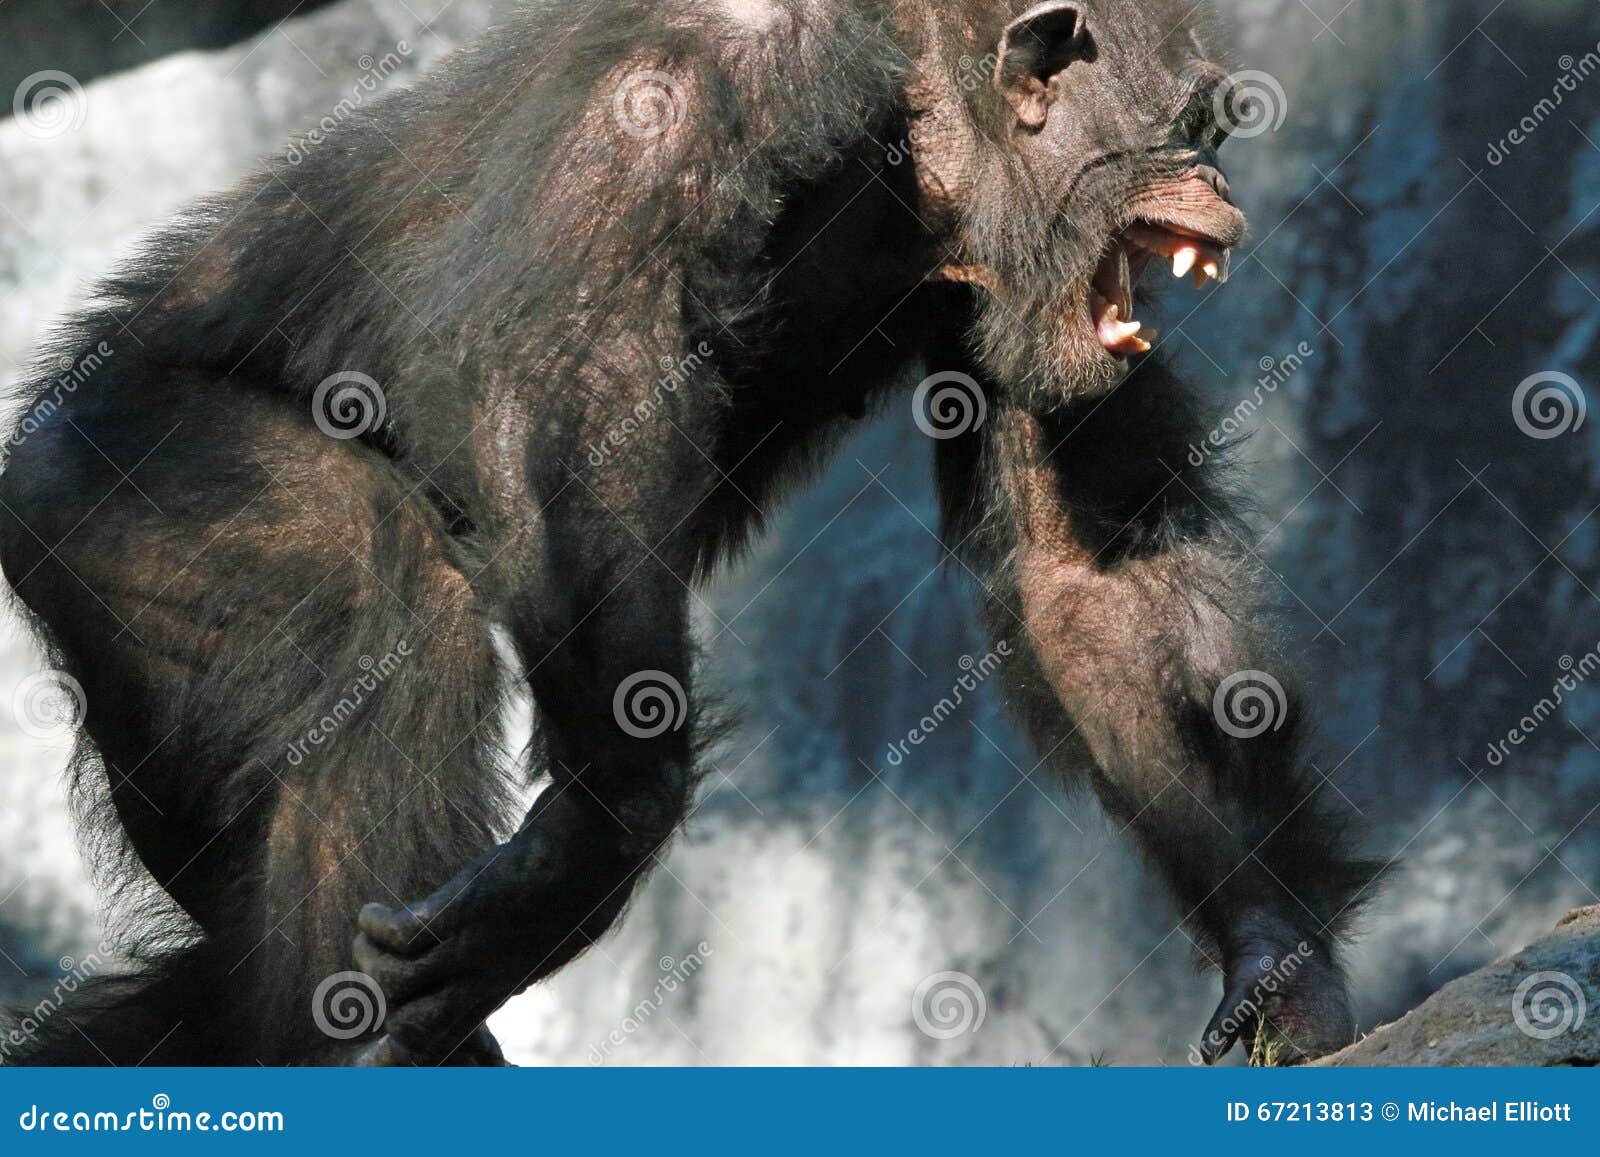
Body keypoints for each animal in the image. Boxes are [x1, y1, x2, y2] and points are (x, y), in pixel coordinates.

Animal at [0, 0, 1378, 1065]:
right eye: (1193, 124)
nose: (1222, 185)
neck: (916, 106)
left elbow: (1085, 574)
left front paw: (1277, 963)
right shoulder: (675, 94)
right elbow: (570, 383)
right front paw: (590, 837)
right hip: (128, 480)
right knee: (374, 614)